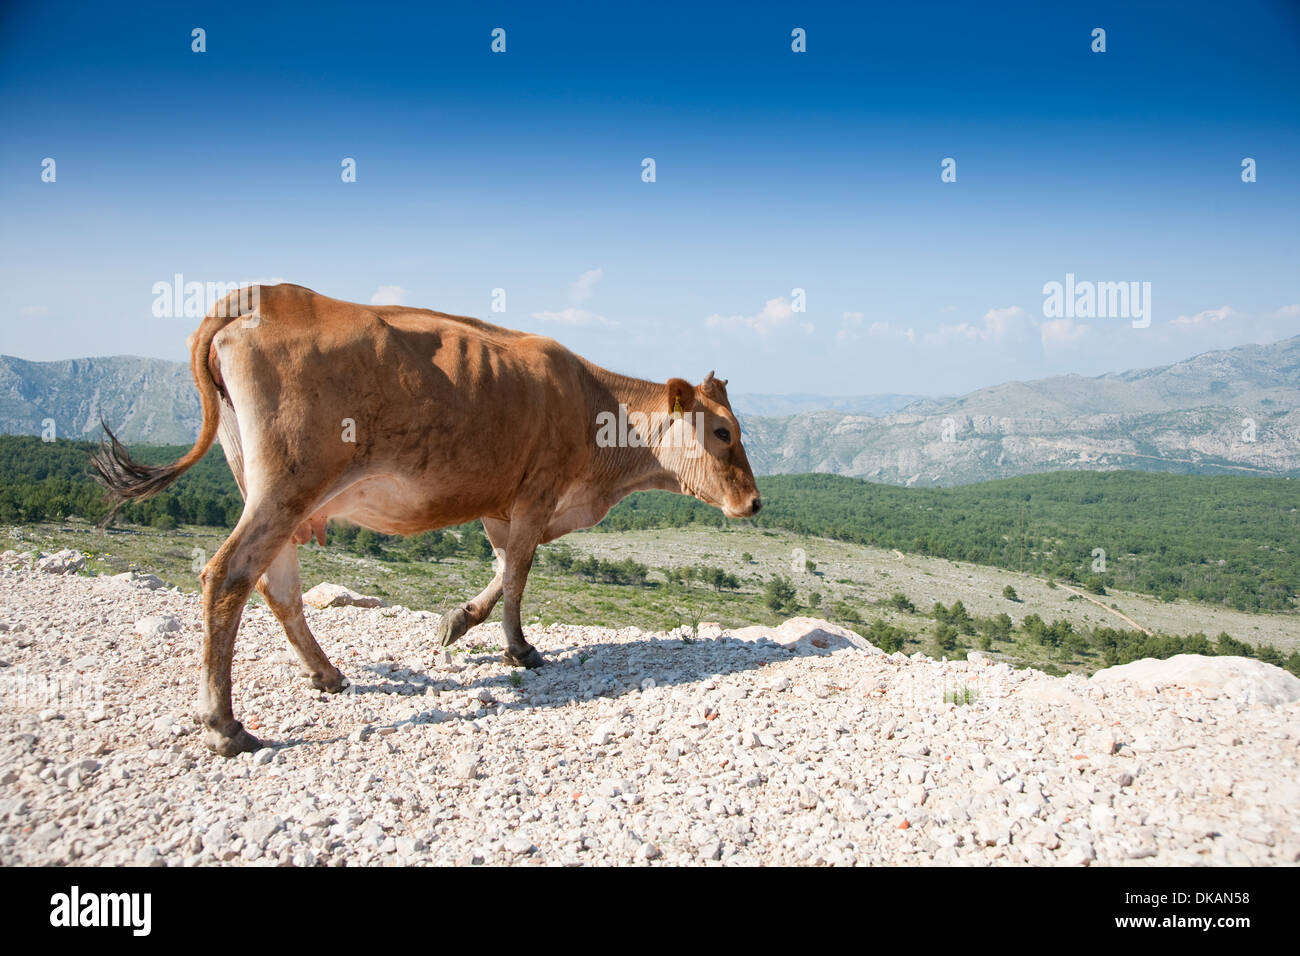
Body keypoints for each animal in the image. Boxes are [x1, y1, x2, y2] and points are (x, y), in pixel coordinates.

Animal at [93, 283, 761, 756]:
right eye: (723, 433)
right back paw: (225, 726)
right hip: (288, 484)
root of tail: (259, 295)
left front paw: (457, 622)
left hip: (267, 488)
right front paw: (520, 649)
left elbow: (501, 570)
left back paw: (326, 674)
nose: (754, 503)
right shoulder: (537, 493)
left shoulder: (501, 502)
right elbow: (519, 575)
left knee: (275, 585)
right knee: (228, 575)